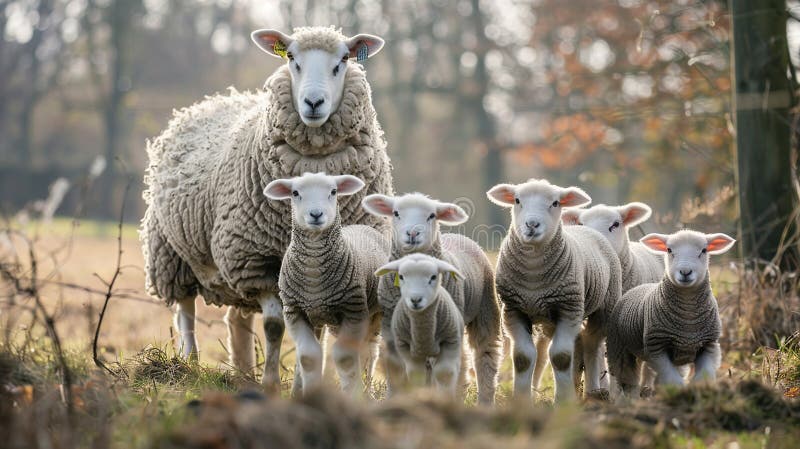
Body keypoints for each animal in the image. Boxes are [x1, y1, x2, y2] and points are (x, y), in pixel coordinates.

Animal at [263, 172, 390, 396]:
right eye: (295, 193)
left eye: (333, 191)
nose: (316, 214)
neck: (315, 275)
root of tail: (362, 226)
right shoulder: (294, 311)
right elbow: (308, 356)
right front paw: (310, 394)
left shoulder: (353, 309)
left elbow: (345, 357)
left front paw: (353, 395)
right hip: (321, 318)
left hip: (374, 315)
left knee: (369, 352)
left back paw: (367, 392)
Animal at [375, 254, 467, 397]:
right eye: (401, 276)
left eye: (433, 277)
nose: (415, 300)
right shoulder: (405, 346)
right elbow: (416, 374)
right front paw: (419, 394)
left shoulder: (450, 341)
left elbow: (445, 373)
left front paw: (445, 398)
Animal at [487, 179, 622, 402]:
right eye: (517, 200)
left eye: (555, 203)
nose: (532, 225)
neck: (534, 281)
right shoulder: (513, 310)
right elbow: (523, 358)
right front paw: (522, 400)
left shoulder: (568, 308)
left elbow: (561, 357)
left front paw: (564, 401)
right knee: (583, 342)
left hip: (603, 306)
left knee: (593, 345)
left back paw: (594, 393)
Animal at [606, 230, 735, 397]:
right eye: (669, 250)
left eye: (703, 250)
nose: (685, 272)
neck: (688, 320)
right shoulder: (656, 347)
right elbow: (673, 380)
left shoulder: (709, 345)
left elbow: (703, 376)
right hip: (618, 347)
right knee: (624, 378)